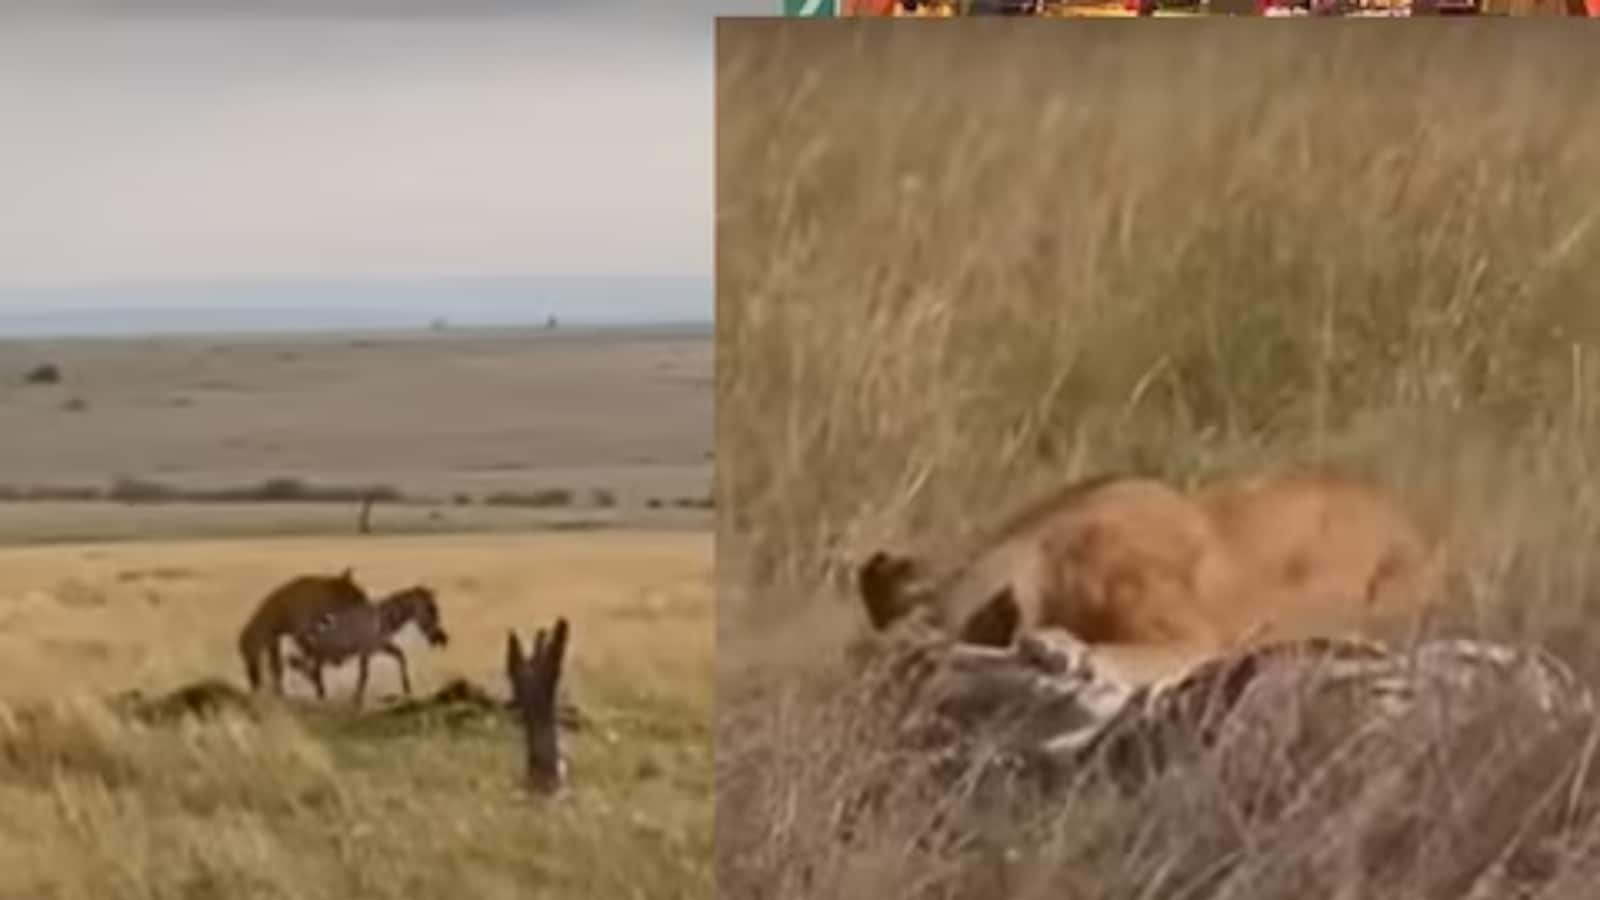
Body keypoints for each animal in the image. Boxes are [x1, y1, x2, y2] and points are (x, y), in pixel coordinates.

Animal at [236, 568, 370, 695]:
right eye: (360, 595)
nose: (368, 601)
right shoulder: (301, 632)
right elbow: (311, 654)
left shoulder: (309, 631)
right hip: (263, 647)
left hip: (270, 644)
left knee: (275, 668)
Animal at [286, 585, 450, 707]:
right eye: (431, 610)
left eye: (435, 610)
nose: (442, 638)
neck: (383, 620)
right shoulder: (365, 650)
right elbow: (364, 675)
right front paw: (356, 701)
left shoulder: (381, 646)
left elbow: (401, 656)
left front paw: (407, 688)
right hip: (322, 652)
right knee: (303, 665)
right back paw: (317, 691)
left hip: (325, 654)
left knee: (307, 667)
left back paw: (319, 691)